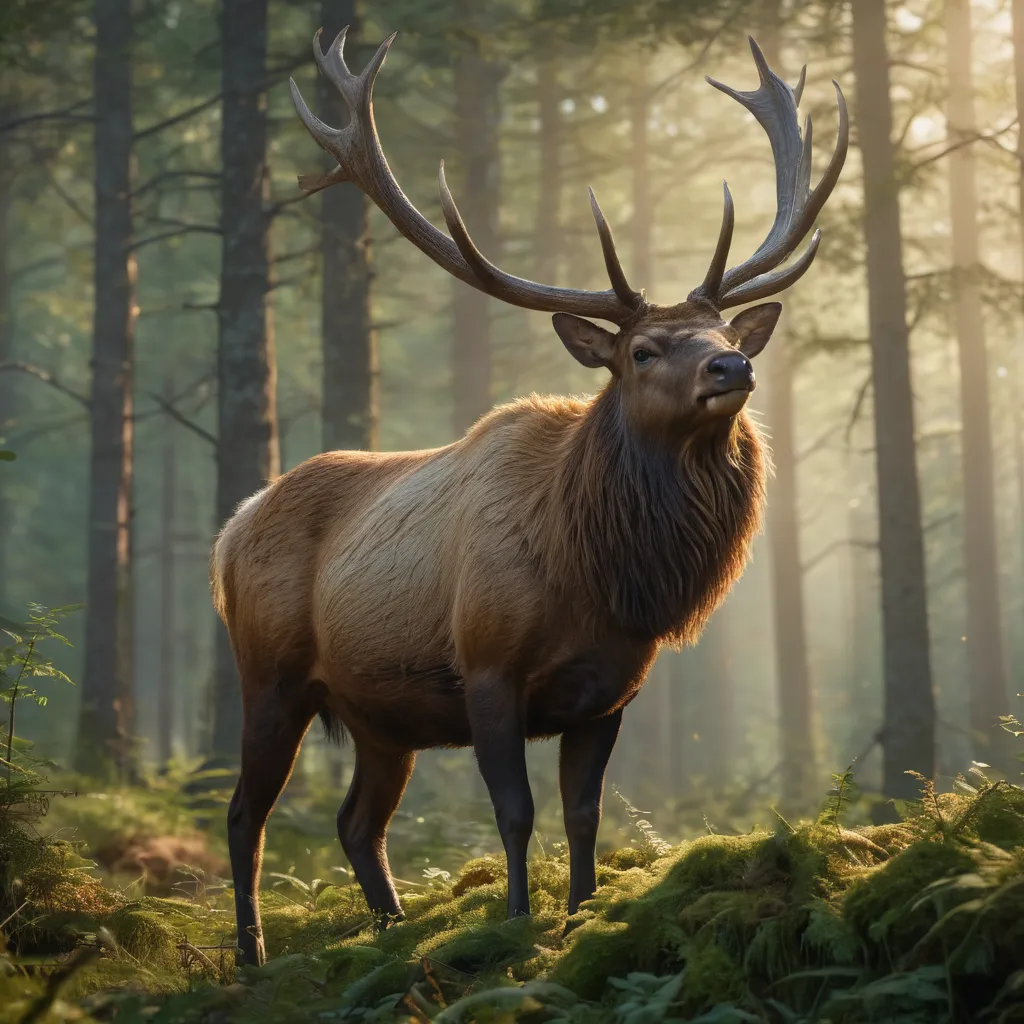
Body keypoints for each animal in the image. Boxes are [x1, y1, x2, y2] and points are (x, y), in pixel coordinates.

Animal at [212, 27, 847, 966]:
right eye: (643, 351)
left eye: (722, 330)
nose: (733, 365)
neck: (598, 574)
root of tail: (232, 527)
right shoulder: (486, 665)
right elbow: (515, 813)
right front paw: (514, 924)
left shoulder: (611, 689)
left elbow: (584, 816)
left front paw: (581, 917)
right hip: (271, 674)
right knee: (244, 813)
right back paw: (253, 955)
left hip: (377, 715)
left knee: (357, 822)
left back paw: (390, 931)